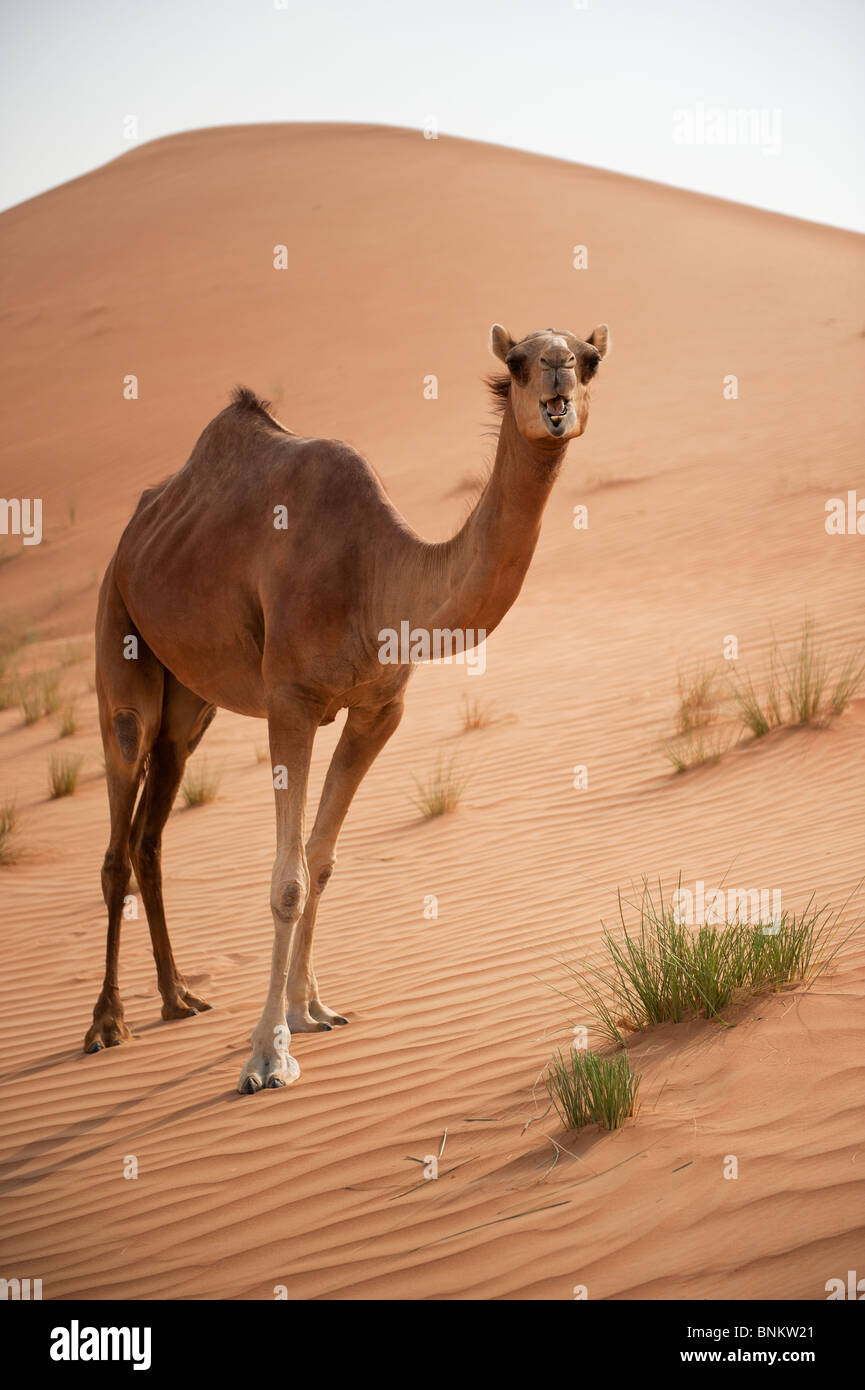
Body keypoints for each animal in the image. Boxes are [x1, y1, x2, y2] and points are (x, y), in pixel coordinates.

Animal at [85, 322, 609, 1092]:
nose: (557, 384)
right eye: (516, 362)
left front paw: (310, 1011)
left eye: (591, 359)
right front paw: (266, 1056)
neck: (376, 578)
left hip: (189, 704)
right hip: (117, 626)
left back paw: (178, 998)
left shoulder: (378, 710)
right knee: (119, 822)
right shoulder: (290, 702)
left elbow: (320, 858)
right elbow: (287, 881)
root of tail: (129, 535)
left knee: (152, 830)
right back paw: (107, 1024)